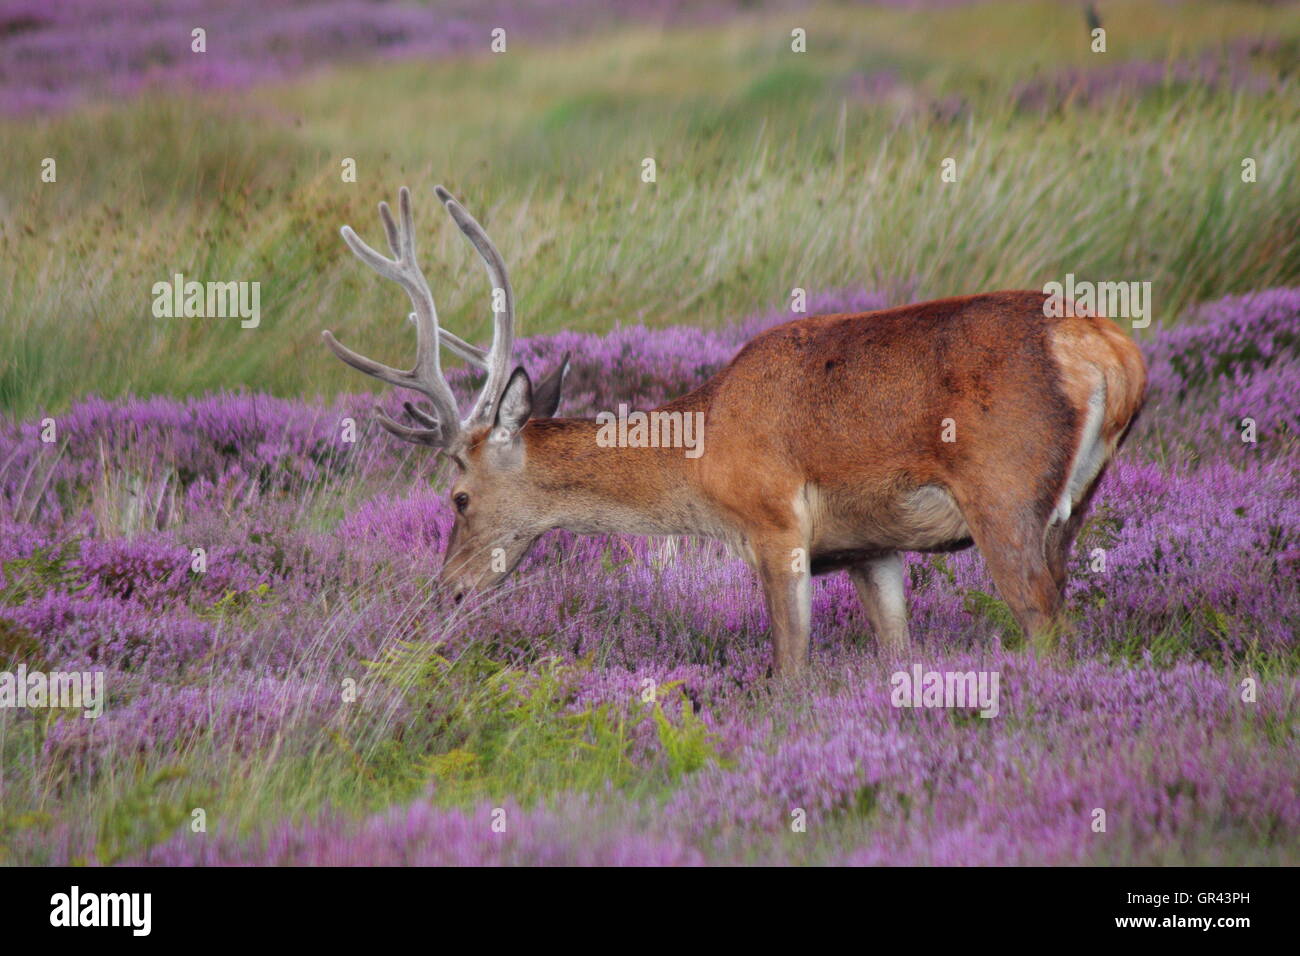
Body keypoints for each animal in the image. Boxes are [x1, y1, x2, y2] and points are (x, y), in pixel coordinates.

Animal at [323, 186, 1147, 676]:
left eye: (457, 497)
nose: (448, 590)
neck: (702, 458)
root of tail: (1115, 353)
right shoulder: (870, 546)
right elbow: (896, 653)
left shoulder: (775, 521)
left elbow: (788, 676)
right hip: (1074, 503)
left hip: (1005, 494)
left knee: (1044, 623)